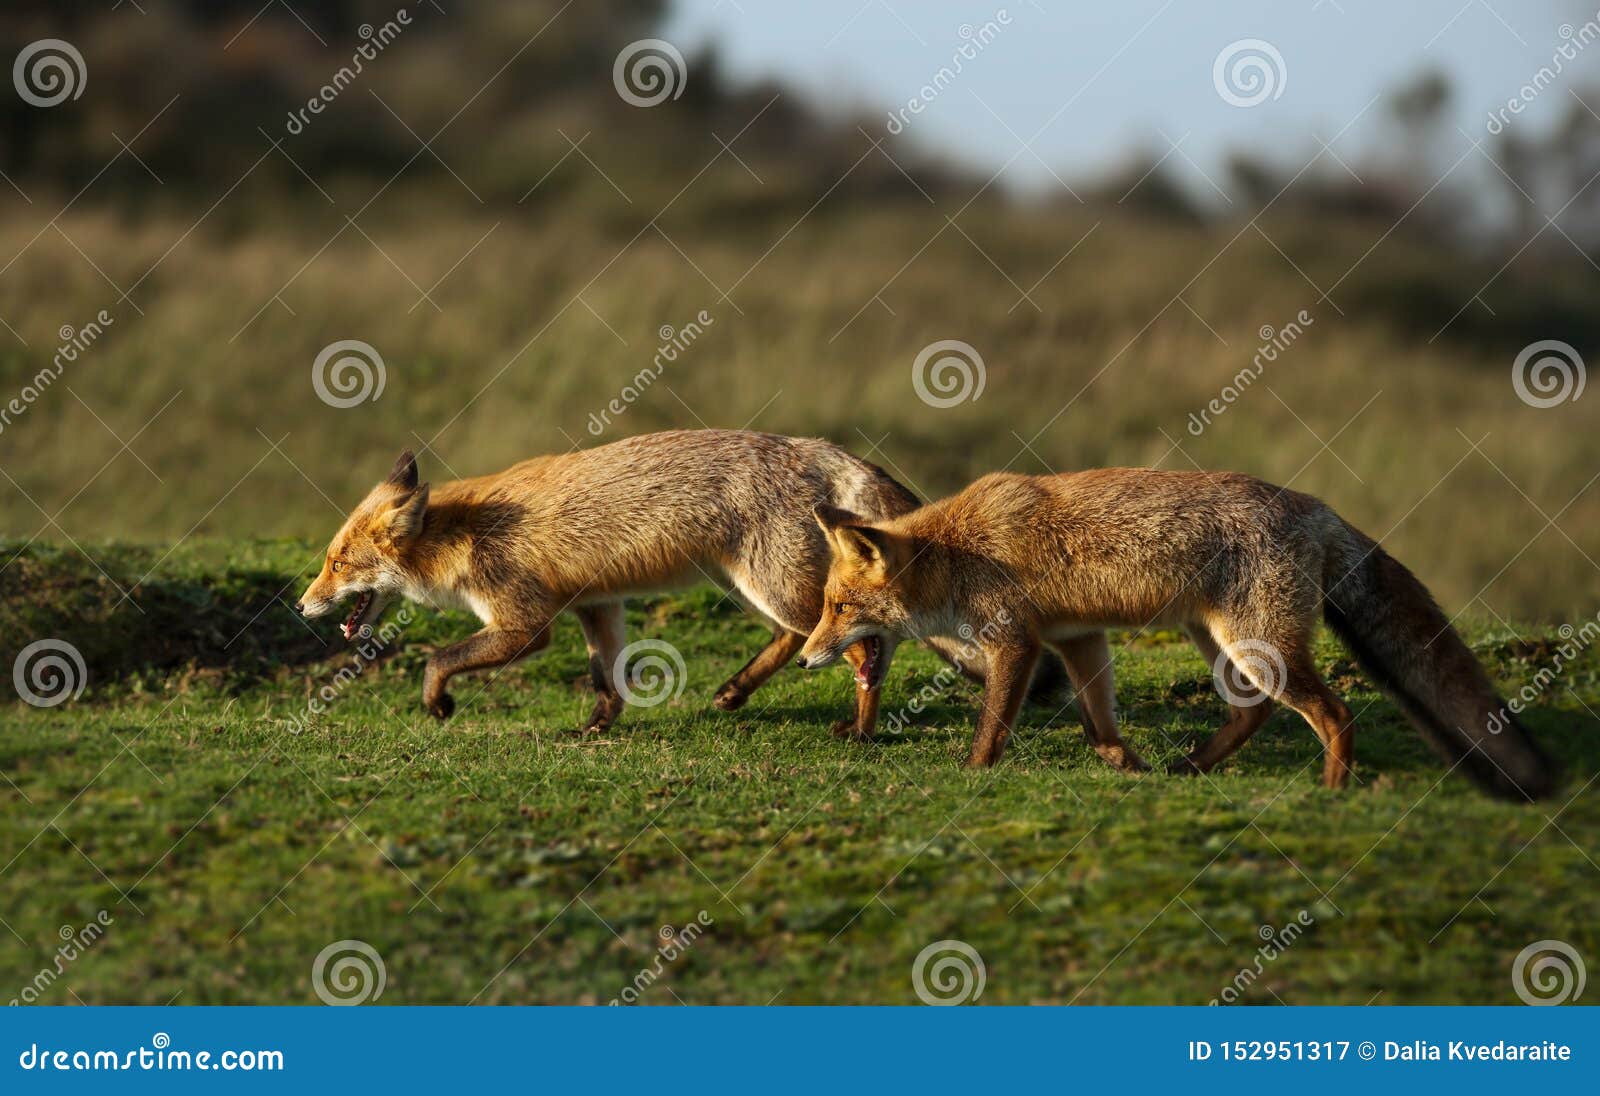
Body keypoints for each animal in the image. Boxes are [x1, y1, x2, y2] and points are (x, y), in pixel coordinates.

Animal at [294, 430, 1058, 736]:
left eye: (338, 564)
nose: (302, 605)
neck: (463, 533)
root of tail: (818, 447)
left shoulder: (524, 623)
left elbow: (438, 658)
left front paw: (437, 703)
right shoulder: (596, 607)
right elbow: (606, 677)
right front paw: (596, 729)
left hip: (775, 586)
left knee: (863, 645)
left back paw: (863, 730)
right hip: (753, 586)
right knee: (802, 640)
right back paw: (735, 693)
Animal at [795, 468, 1559, 801]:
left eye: (837, 607)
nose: (804, 658)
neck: (960, 551)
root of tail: (1318, 506)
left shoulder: (1018, 641)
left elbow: (993, 725)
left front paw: (974, 772)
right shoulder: (1079, 639)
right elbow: (1099, 721)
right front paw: (1125, 764)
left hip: (1258, 643)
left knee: (1336, 712)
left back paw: (1332, 789)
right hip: (1222, 644)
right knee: (1253, 713)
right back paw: (1191, 767)